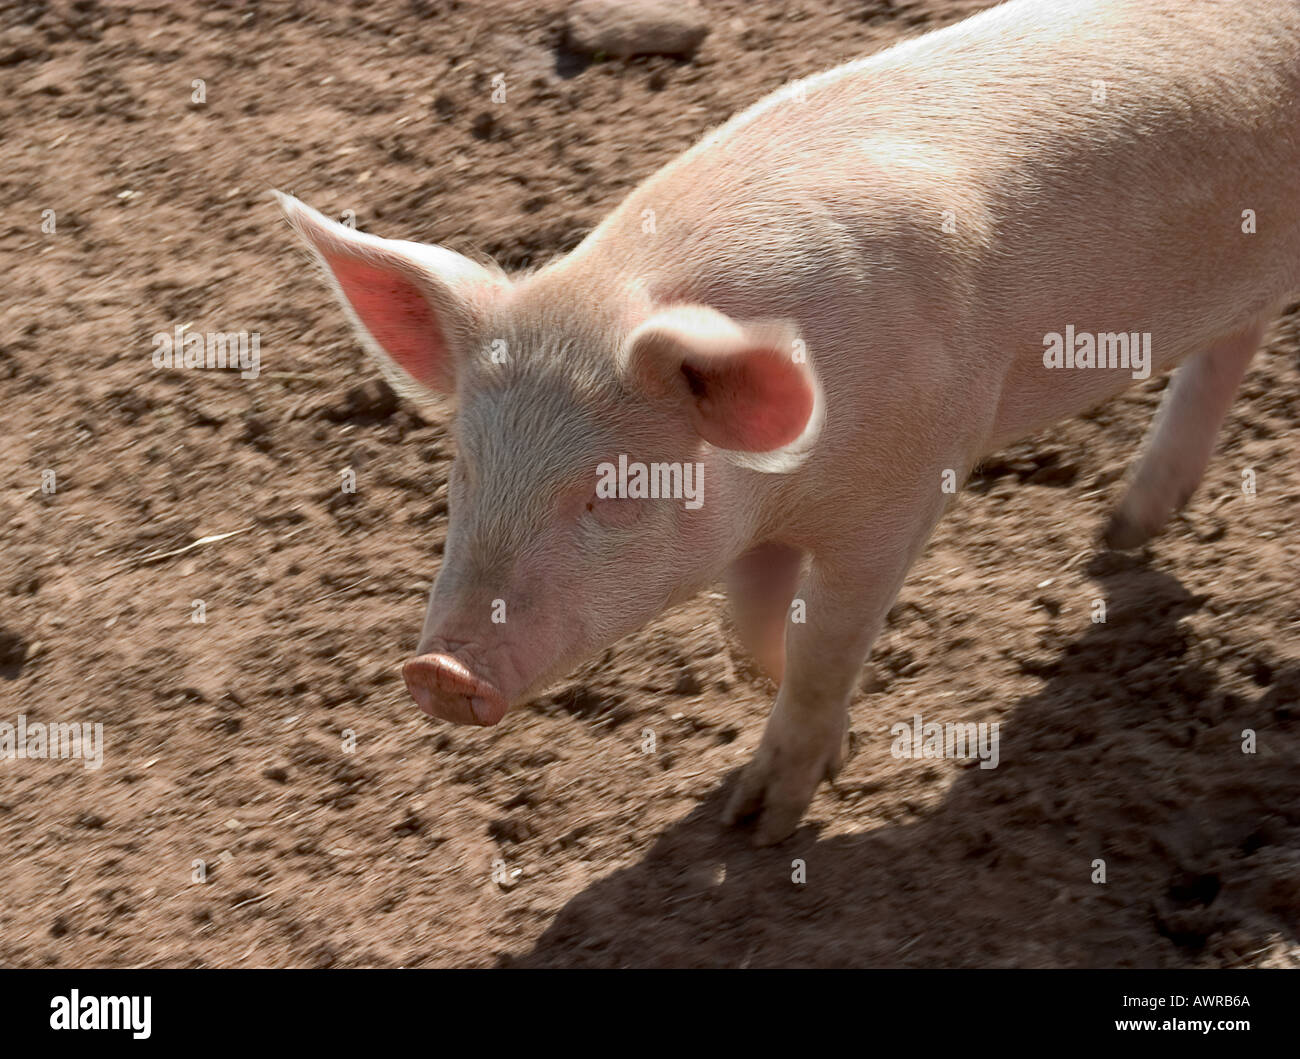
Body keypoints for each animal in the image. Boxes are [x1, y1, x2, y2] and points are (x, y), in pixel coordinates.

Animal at [278, 0, 1300, 844]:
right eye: (461, 468)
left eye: (613, 491)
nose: (438, 672)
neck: (787, 490)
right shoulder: (758, 521)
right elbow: (751, 621)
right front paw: (816, 743)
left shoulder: (906, 486)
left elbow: (823, 639)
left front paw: (759, 822)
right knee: (1236, 338)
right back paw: (1120, 535)